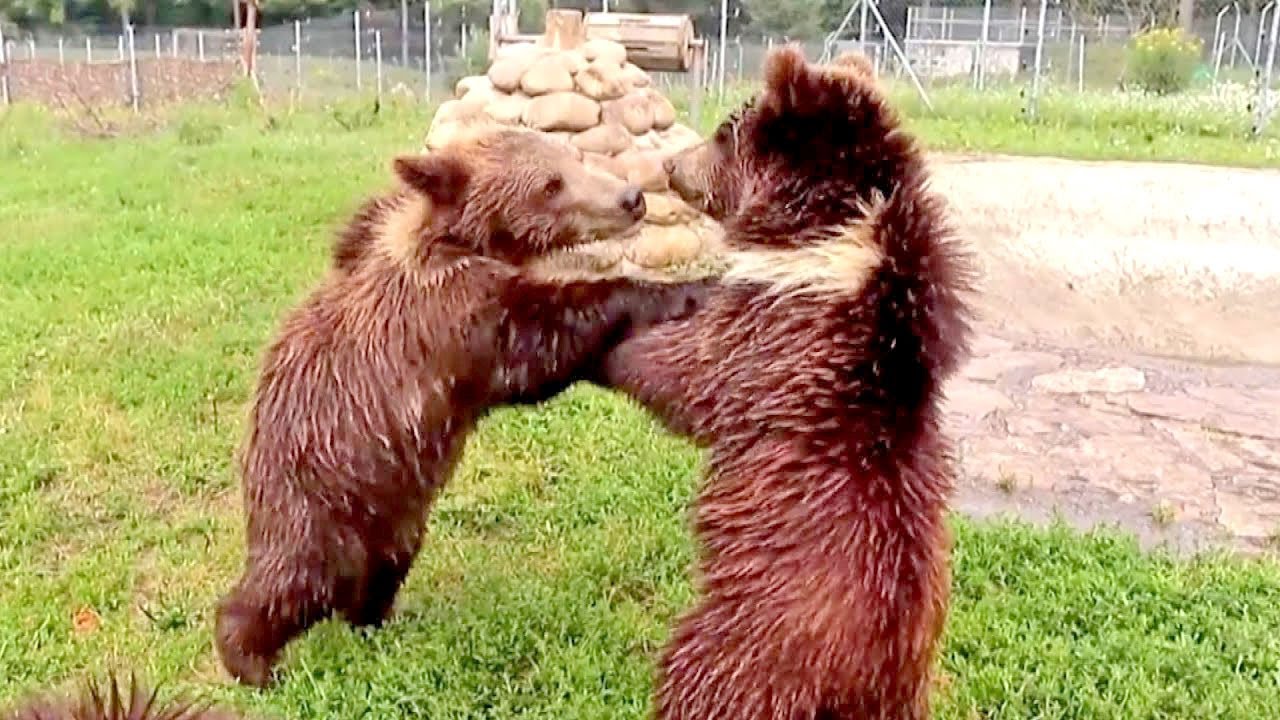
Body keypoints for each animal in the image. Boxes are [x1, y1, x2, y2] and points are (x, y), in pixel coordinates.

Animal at [214, 124, 713, 689]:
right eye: (550, 184)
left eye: (574, 157)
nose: (631, 198)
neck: (470, 242)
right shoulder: (453, 317)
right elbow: (541, 340)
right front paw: (678, 290)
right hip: (321, 502)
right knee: (291, 584)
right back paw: (251, 658)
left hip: (394, 514)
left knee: (381, 572)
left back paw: (377, 622)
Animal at [601, 46, 975, 720]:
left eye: (726, 129)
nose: (670, 165)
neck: (828, 241)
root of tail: (858, 680)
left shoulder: (770, 335)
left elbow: (690, 374)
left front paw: (616, 343)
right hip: (906, 683)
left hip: (743, 648)